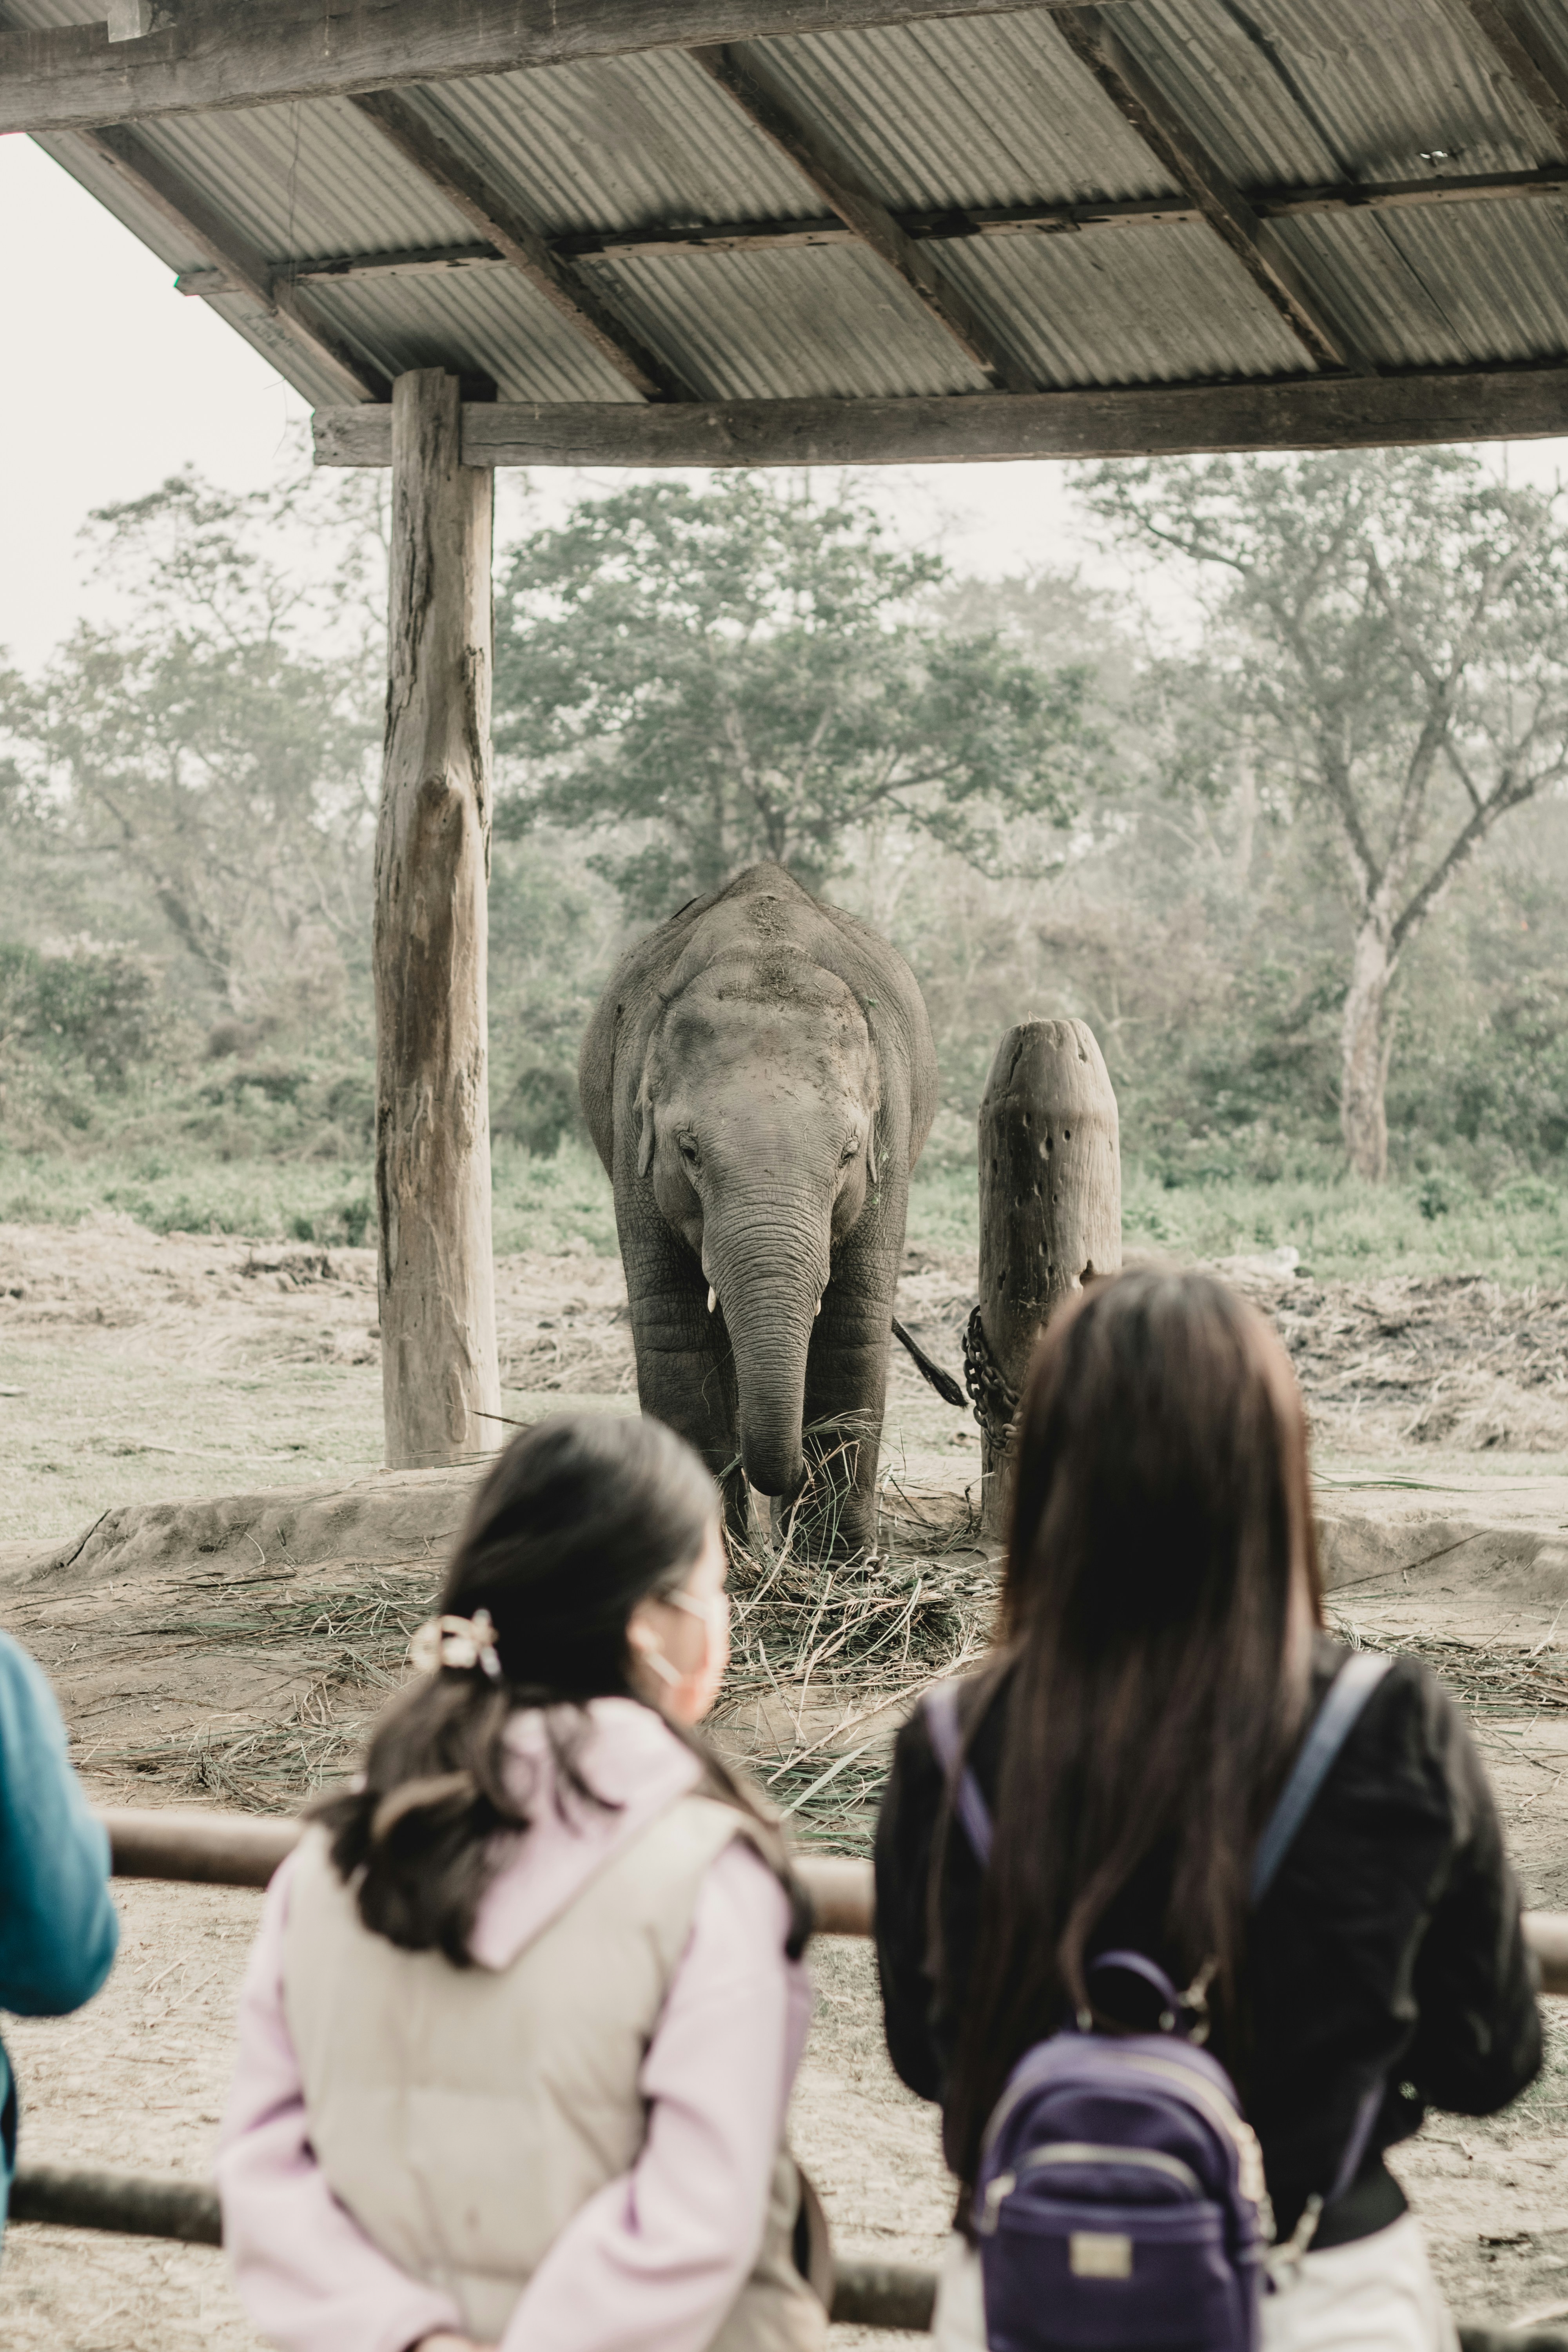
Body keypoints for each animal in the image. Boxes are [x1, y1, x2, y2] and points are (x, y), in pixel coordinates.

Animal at [580, 864, 939, 1558]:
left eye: (848, 1154)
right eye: (689, 1151)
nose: (784, 1474)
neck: (765, 951)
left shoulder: (892, 1136)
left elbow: (854, 1317)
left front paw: (842, 1562)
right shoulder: (632, 1137)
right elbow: (672, 1322)